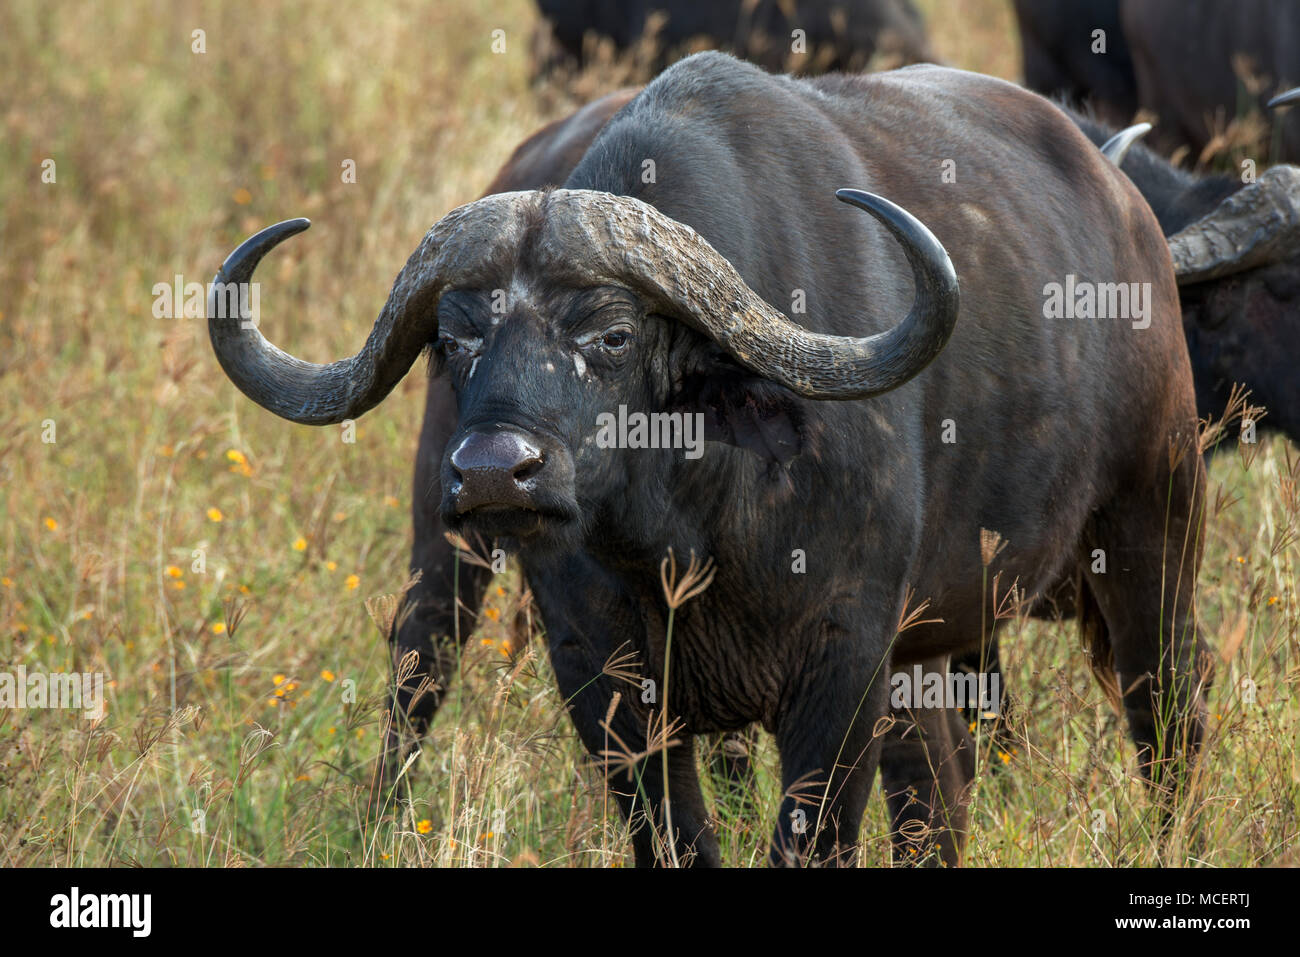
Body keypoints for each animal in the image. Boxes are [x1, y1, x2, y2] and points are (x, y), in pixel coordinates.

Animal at [210, 53, 1210, 866]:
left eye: (612, 334)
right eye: (455, 342)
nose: (494, 470)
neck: (689, 529)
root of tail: (1132, 216)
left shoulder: (844, 664)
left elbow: (812, 838)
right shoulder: (604, 681)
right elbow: (677, 837)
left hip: (1154, 530)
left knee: (1168, 713)